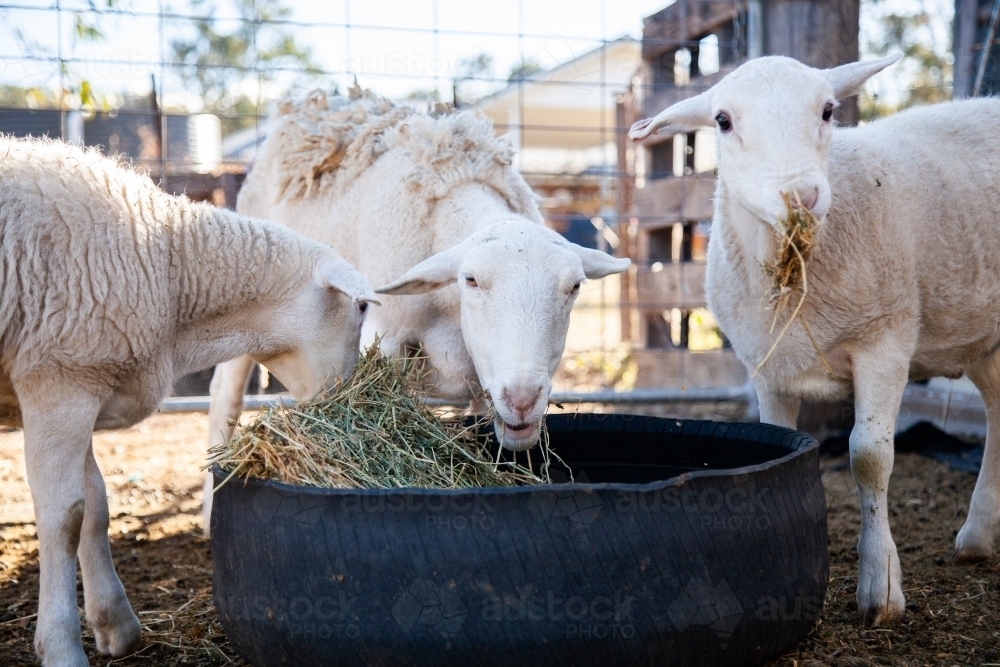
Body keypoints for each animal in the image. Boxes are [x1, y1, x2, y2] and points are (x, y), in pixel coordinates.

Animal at [0, 136, 377, 666]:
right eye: (361, 306)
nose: (349, 396)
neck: (171, 267)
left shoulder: (86, 383)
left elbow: (96, 504)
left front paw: (115, 625)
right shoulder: (57, 383)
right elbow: (65, 517)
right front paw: (61, 646)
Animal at [204, 87, 629, 529]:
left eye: (575, 287)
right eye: (470, 280)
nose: (523, 400)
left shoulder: (482, 388)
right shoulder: (385, 337)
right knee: (225, 395)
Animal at [629, 54, 1000, 626]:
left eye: (828, 110)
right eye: (722, 121)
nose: (802, 197)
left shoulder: (885, 341)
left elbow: (869, 458)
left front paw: (880, 587)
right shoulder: (767, 364)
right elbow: (772, 442)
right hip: (981, 336)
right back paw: (979, 536)